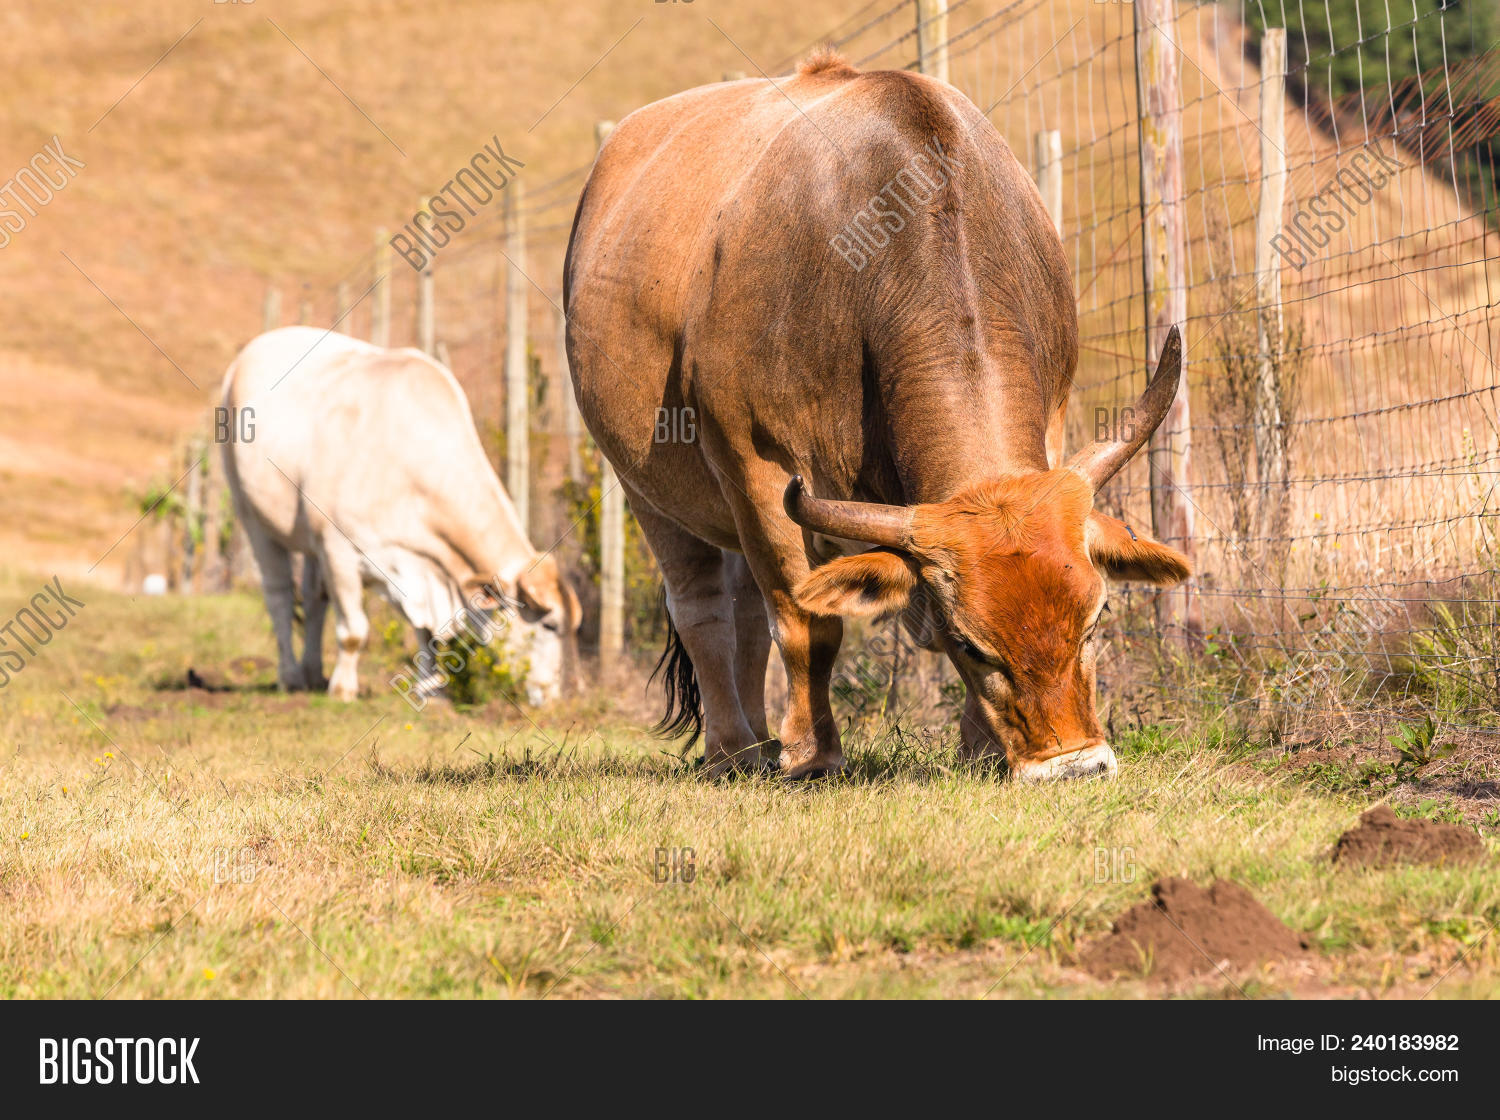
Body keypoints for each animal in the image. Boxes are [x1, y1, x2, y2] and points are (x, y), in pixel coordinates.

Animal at [220, 327, 580, 705]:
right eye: (549, 625)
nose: (556, 696)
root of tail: (254, 349)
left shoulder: (417, 566)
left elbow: (427, 634)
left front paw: (431, 690)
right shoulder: (338, 551)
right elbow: (353, 631)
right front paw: (344, 689)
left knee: (315, 601)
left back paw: (313, 672)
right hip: (252, 516)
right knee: (279, 596)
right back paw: (290, 675)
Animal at [563, 50, 1189, 781]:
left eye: (1096, 619)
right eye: (971, 645)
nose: (1073, 764)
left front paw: (978, 744)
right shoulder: (758, 470)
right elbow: (806, 622)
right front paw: (814, 755)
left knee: (744, 613)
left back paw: (759, 743)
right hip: (647, 490)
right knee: (703, 608)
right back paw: (734, 749)